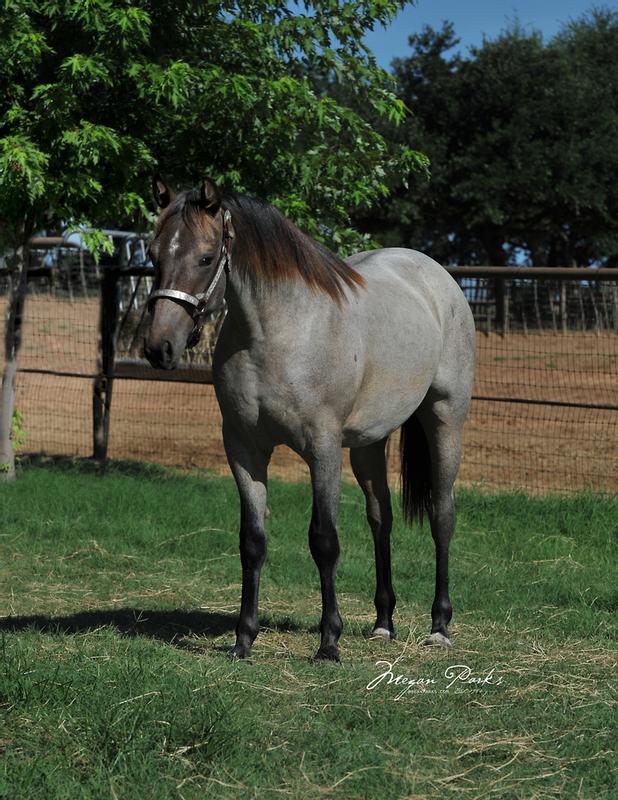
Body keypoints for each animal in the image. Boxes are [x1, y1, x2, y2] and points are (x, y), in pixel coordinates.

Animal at [144, 177, 475, 662]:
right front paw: (243, 639)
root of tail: (438, 277)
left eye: (205, 257)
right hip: (368, 443)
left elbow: (324, 540)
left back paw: (439, 625)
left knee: (442, 515)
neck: (278, 333)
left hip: (445, 419)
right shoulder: (243, 448)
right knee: (381, 518)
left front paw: (329, 642)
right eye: (154, 256)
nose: (158, 347)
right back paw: (383, 623)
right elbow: (252, 541)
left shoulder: (322, 449)